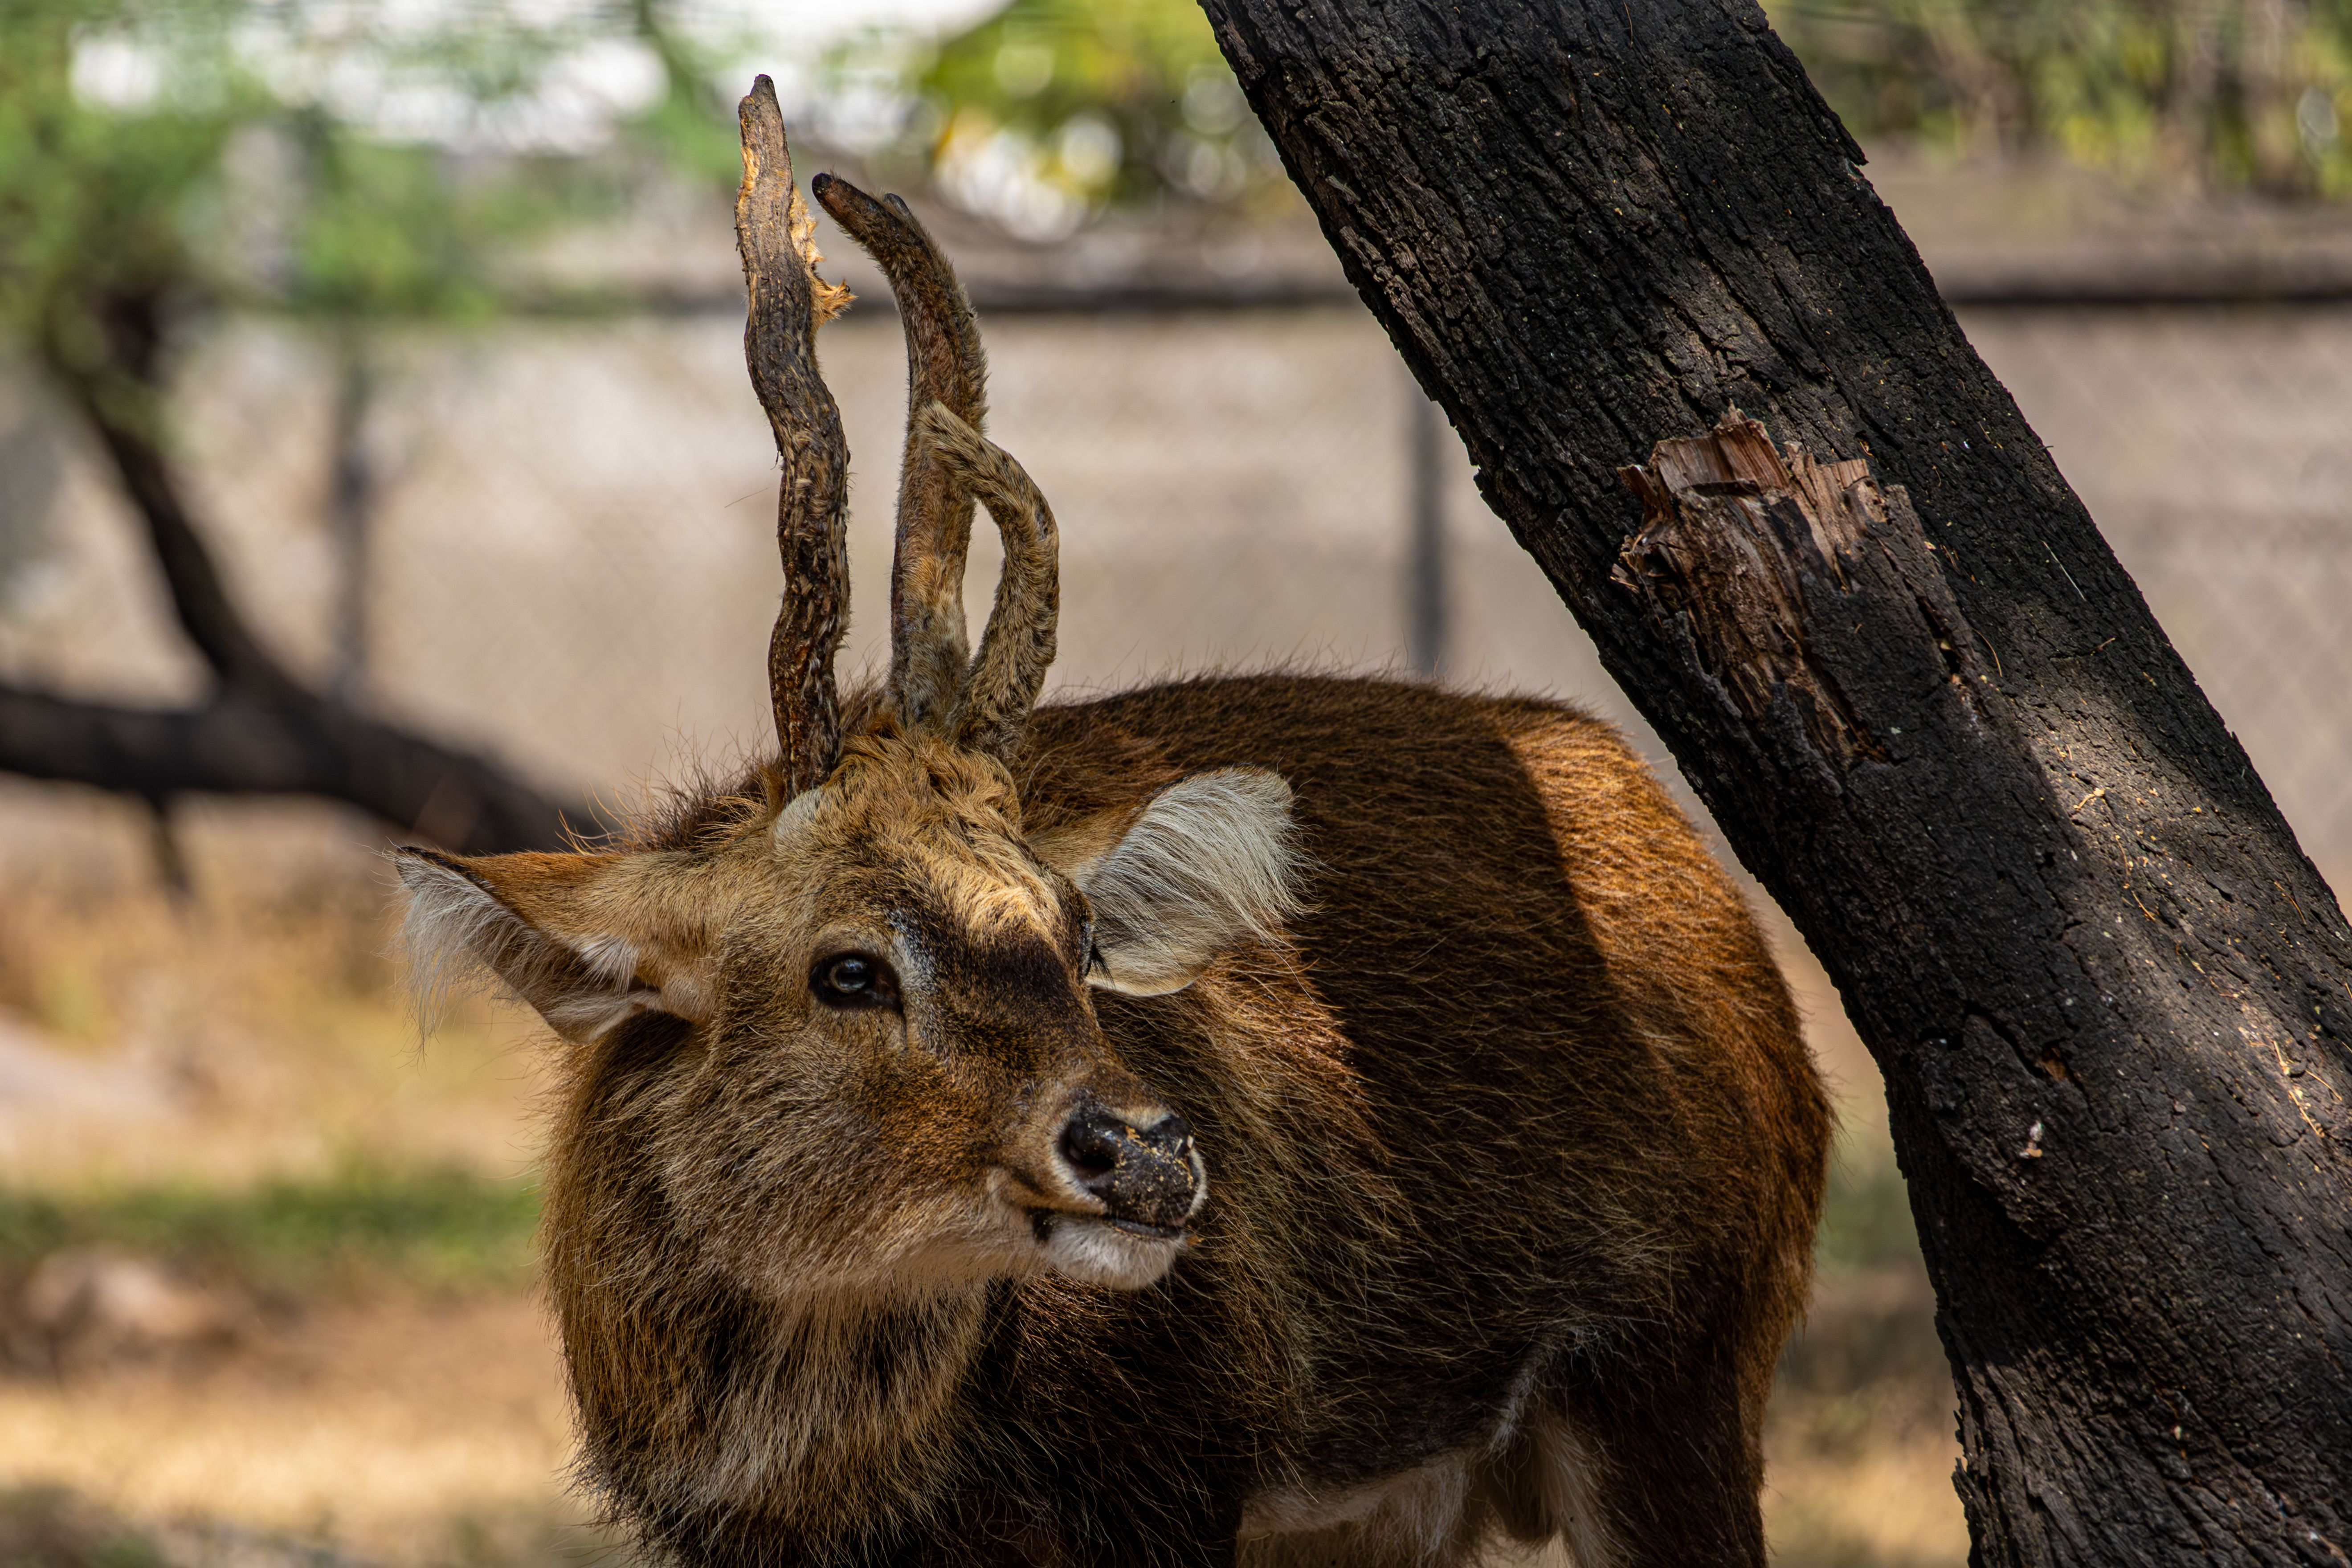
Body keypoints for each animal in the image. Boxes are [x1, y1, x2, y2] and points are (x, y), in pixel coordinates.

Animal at [394, 78, 1832, 1568]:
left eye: (1077, 938)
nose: (1141, 1153)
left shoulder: (1171, 1475)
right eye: (846, 968)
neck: (847, 1490)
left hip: (1681, 1364)